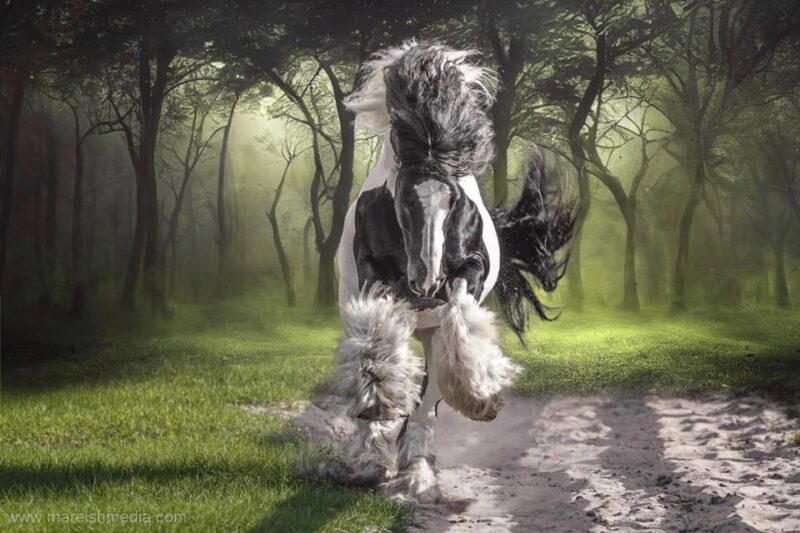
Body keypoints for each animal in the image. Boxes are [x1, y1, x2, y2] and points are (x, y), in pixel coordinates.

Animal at [332, 41, 575, 503]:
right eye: (403, 198)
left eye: (455, 198)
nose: (426, 284)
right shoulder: (372, 272)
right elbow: (374, 341)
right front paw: (375, 406)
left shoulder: (471, 268)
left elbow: (461, 315)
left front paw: (480, 396)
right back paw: (374, 456)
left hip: (430, 336)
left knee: (428, 401)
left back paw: (416, 471)